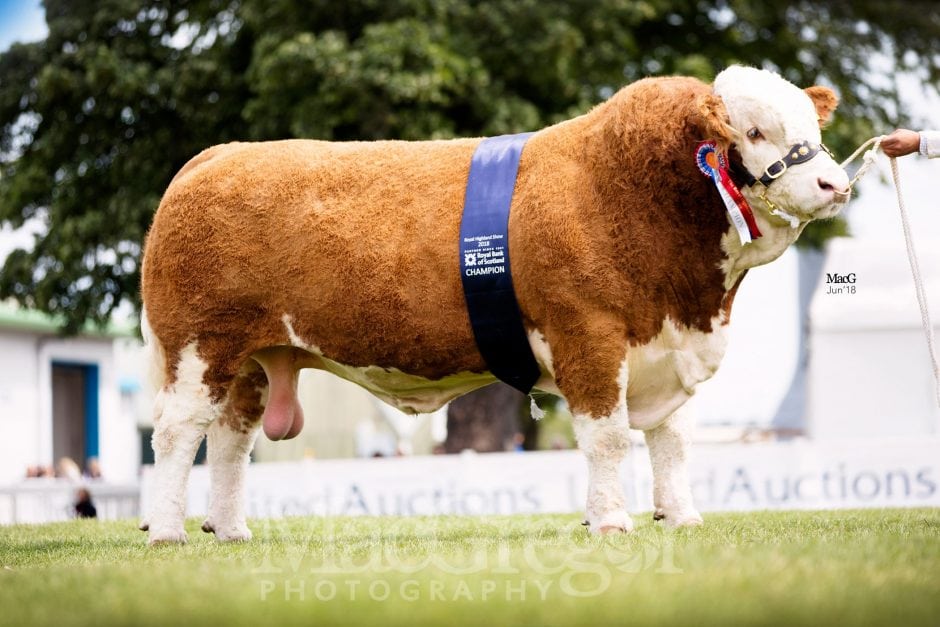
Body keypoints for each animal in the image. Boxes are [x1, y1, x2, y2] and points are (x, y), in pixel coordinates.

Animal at [139, 65, 849, 544]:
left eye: (813, 127)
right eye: (753, 130)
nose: (833, 182)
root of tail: (216, 157)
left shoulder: (666, 346)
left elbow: (671, 441)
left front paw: (680, 517)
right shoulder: (587, 334)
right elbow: (608, 437)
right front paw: (611, 521)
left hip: (253, 357)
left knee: (231, 440)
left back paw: (230, 529)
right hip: (197, 345)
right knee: (178, 433)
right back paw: (168, 530)